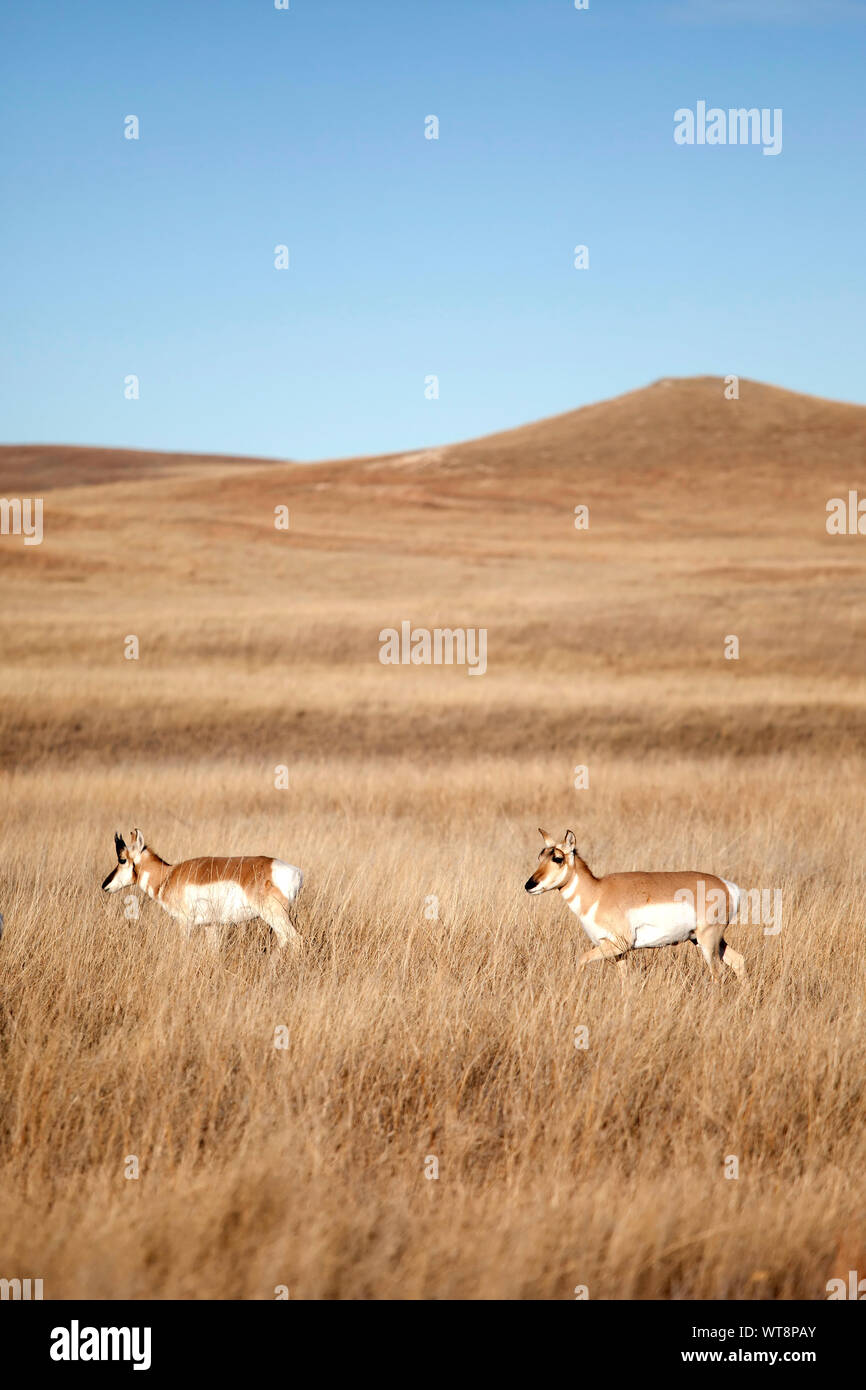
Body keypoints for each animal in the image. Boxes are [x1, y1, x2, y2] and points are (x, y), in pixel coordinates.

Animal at [101, 830, 304, 952]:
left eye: (122, 859)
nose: (105, 885)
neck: (168, 875)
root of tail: (295, 871)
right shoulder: (210, 926)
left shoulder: (184, 923)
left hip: (275, 916)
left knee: (294, 940)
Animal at [524, 830, 745, 983]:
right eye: (540, 857)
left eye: (557, 858)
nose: (529, 885)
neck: (597, 892)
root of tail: (728, 886)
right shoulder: (619, 952)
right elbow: (624, 980)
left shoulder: (619, 944)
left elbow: (581, 959)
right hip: (702, 940)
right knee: (738, 961)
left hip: (707, 942)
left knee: (718, 973)